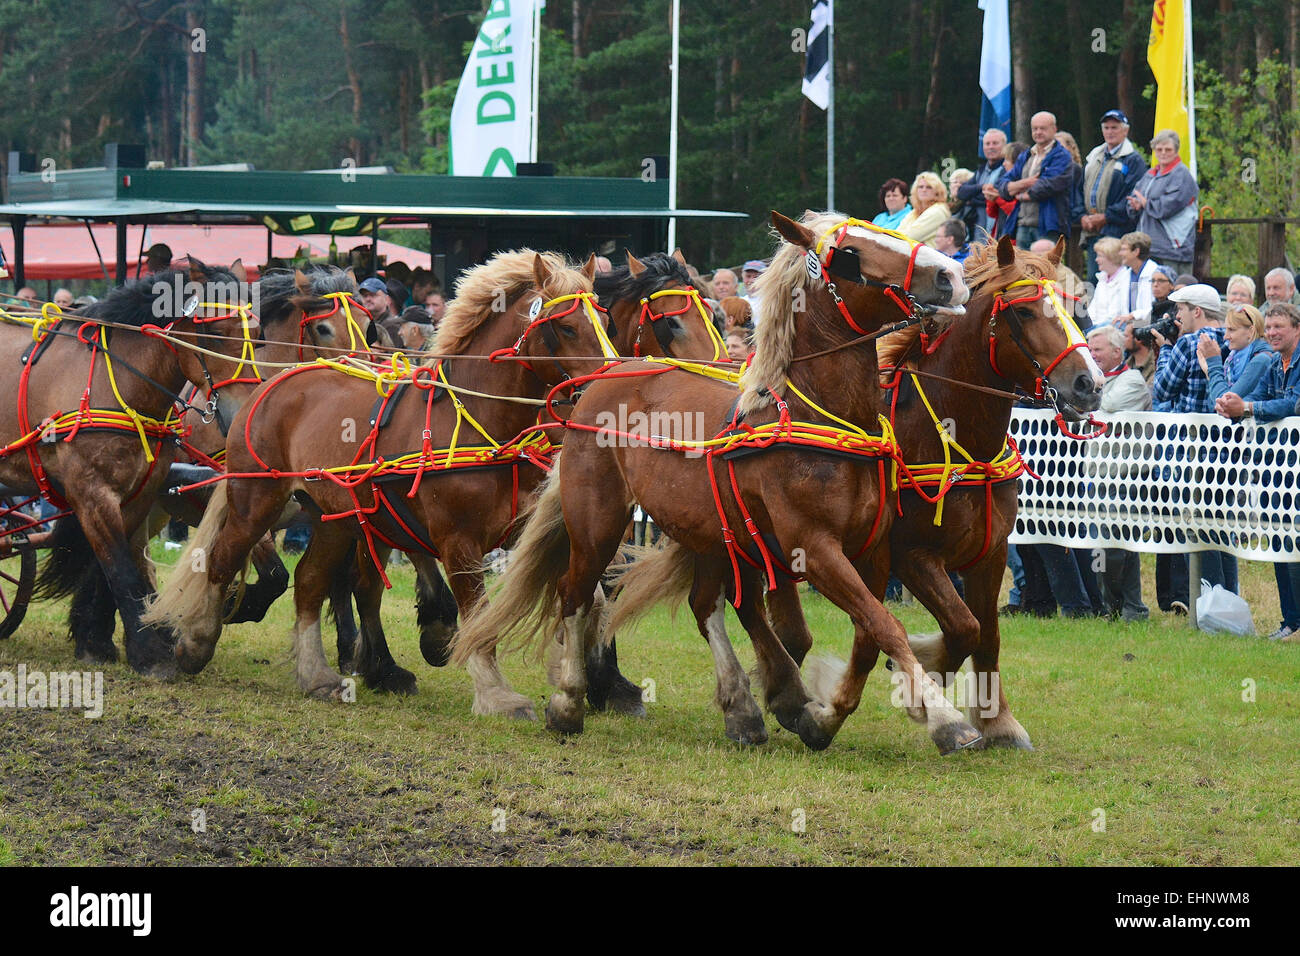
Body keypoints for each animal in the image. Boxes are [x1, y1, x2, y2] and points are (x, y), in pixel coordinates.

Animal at [0, 257, 260, 675]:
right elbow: (121, 568)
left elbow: (110, 569)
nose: (241, 416)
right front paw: (148, 653)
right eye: (216, 334)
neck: (121, 383)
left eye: (260, 336)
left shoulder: (139, 493)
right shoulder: (90, 492)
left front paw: (97, 641)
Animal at [143, 250, 618, 704]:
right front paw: (495, 693)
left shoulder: (525, 529)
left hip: (333, 518)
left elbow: (587, 596)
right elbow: (475, 610)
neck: (478, 420)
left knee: (310, 582)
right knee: (224, 559)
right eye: (567, 327)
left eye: (605, 321)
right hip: (256, 500)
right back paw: (197, 643)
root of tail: (269, 385)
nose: (603, 389)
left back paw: (316, 674)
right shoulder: (455, 538)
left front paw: (579, 681)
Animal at [449, 210, 990, 754]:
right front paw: (946, 720)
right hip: (598, 522)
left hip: (710, 533)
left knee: (706, 605)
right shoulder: (813, 549)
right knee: (576, 592)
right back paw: (568, 701)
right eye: (849, 253)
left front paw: (823, 715)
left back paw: (749, 708)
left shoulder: (873, 552)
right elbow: (885, 626)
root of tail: (604, 379)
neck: (827, 420)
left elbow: (868, 636)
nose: (951, 275)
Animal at [603, 236, 1105, 750]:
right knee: (737, 609)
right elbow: (956, 628)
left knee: (735, 610)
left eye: (1074, 306)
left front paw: (996, 720)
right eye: (1022, 312)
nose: (1089, 384)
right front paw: (920, 686)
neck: (948, 436)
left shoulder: (990, 553)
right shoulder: (909, 554)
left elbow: (984, 634)